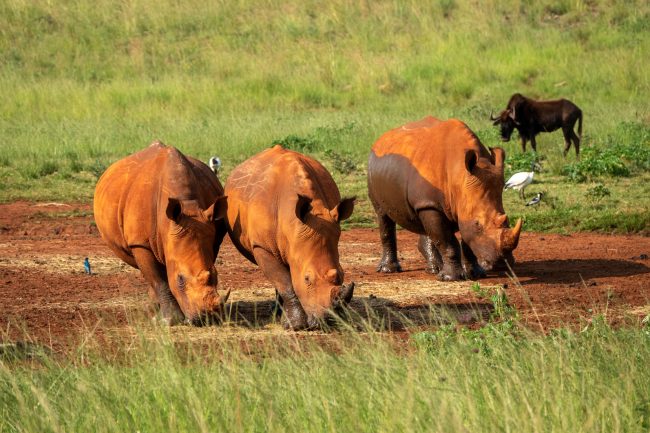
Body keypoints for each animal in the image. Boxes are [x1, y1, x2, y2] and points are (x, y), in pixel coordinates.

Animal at [93, 141, 229, 325]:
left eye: (216, 275)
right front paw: (169, 320)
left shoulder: (211, 235)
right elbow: (159, 279)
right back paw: (154, 311)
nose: (205, 318)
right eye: (180, 279)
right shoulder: (140, 242)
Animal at [224, 145, 356, 330]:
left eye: (342, 274)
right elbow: (285, 283)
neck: (293, 229)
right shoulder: (261, 246)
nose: (329, 320)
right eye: (307, 279)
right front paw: (295, 325)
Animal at [367, 116, 522, 281]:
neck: (460, 176)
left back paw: (434, 269)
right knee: (383, 215)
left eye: (507, 220)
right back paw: (389, 270)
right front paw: (451, 278)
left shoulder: (461, 202)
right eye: (478, 224)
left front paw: (476, 274)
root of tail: (379, 140)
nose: (502, 264)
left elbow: (465, 238)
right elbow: (448, 242)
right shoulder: (432, 204)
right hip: (374, 171)